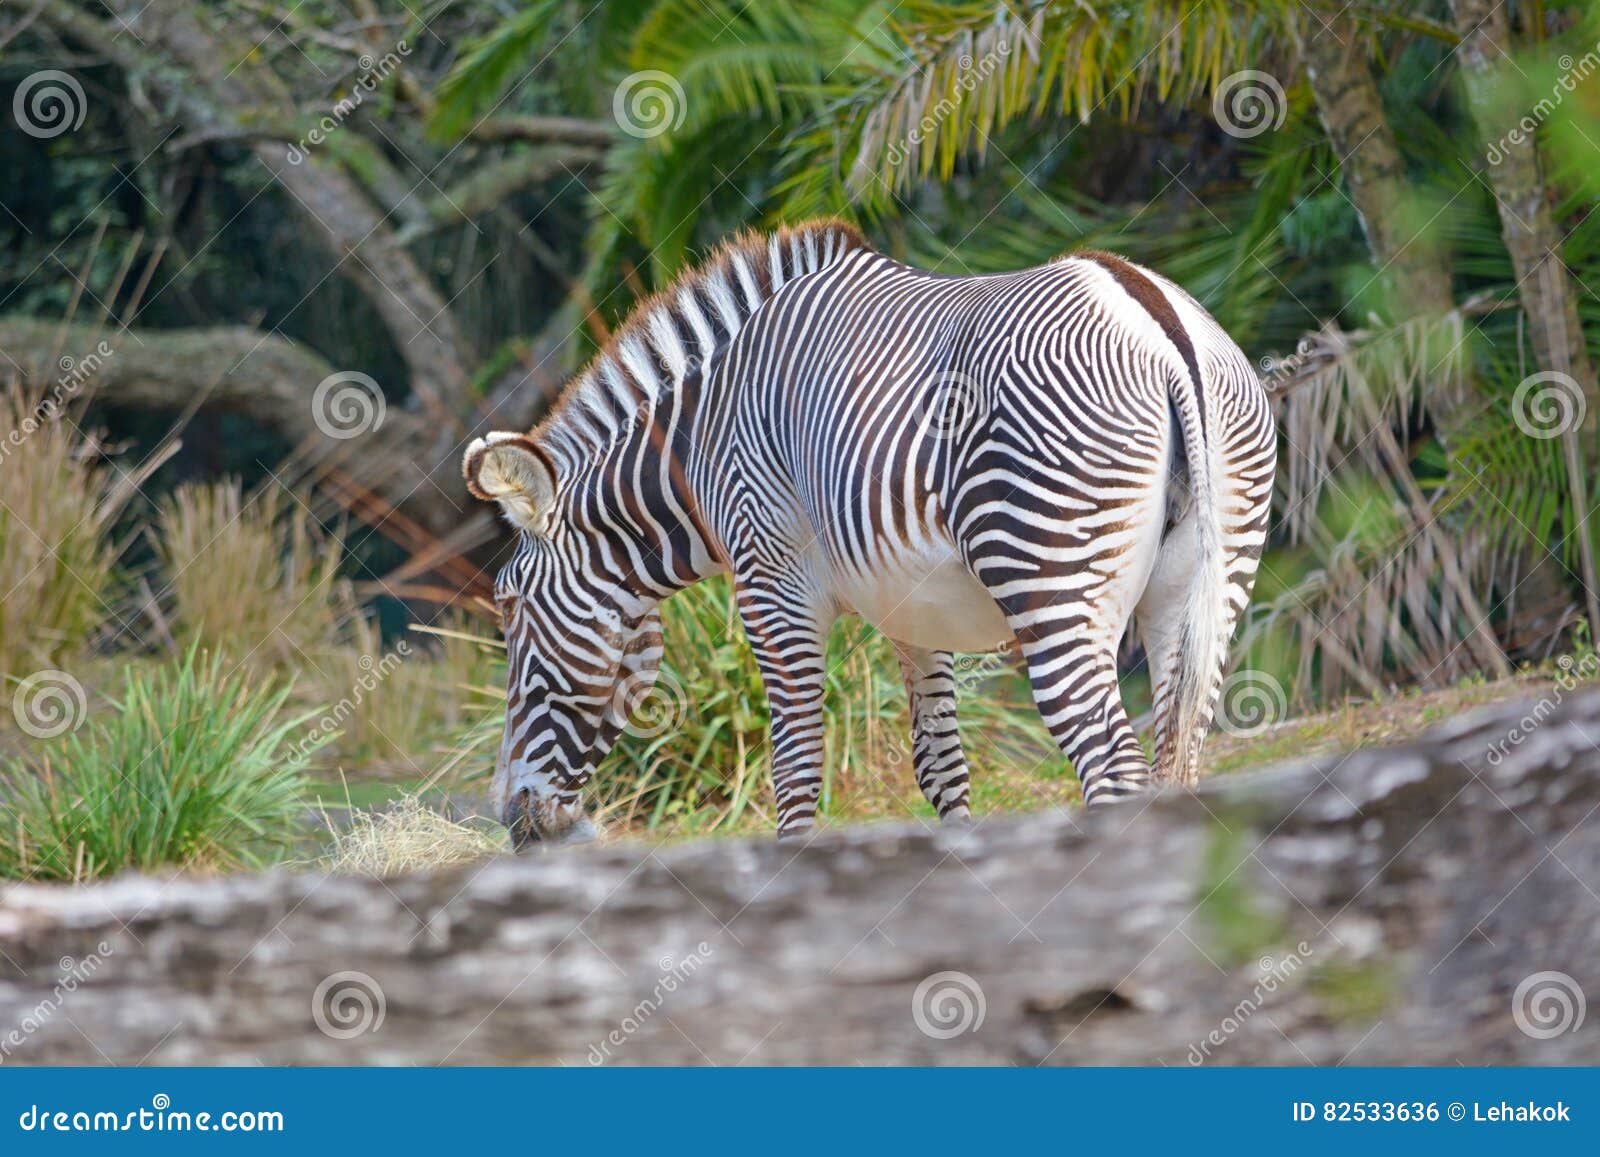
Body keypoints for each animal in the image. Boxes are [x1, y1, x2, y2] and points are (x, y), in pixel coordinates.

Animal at [464, 221, 1275, 846]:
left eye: (508, 605)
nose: (514, 819)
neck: (702, 446)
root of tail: (1154, 320)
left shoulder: (771, 586)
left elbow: (795, 767)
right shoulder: (917, 613)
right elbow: (940, 766)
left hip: (1052, 585)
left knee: (1114, 769)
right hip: (1206, 588)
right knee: (1179, 758)